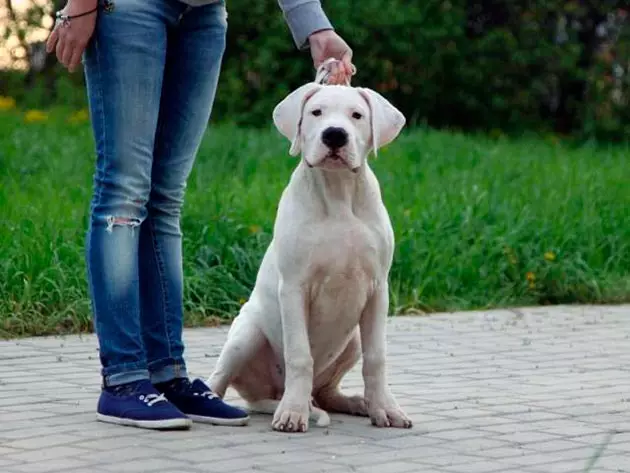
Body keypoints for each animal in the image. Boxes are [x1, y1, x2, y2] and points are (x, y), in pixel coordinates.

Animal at [207, 82, 412, 432]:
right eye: (316, 112)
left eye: (357, 116)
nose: (334, 135)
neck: (338, 192)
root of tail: (265, 395)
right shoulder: (294, 288)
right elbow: (299, 355)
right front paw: (292, 414)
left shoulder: (377, 290)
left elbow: (377, 358)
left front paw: (385, 408)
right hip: (246, 334)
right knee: (218, 380)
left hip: (353, 340)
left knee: (325, 392)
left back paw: (357, 403)